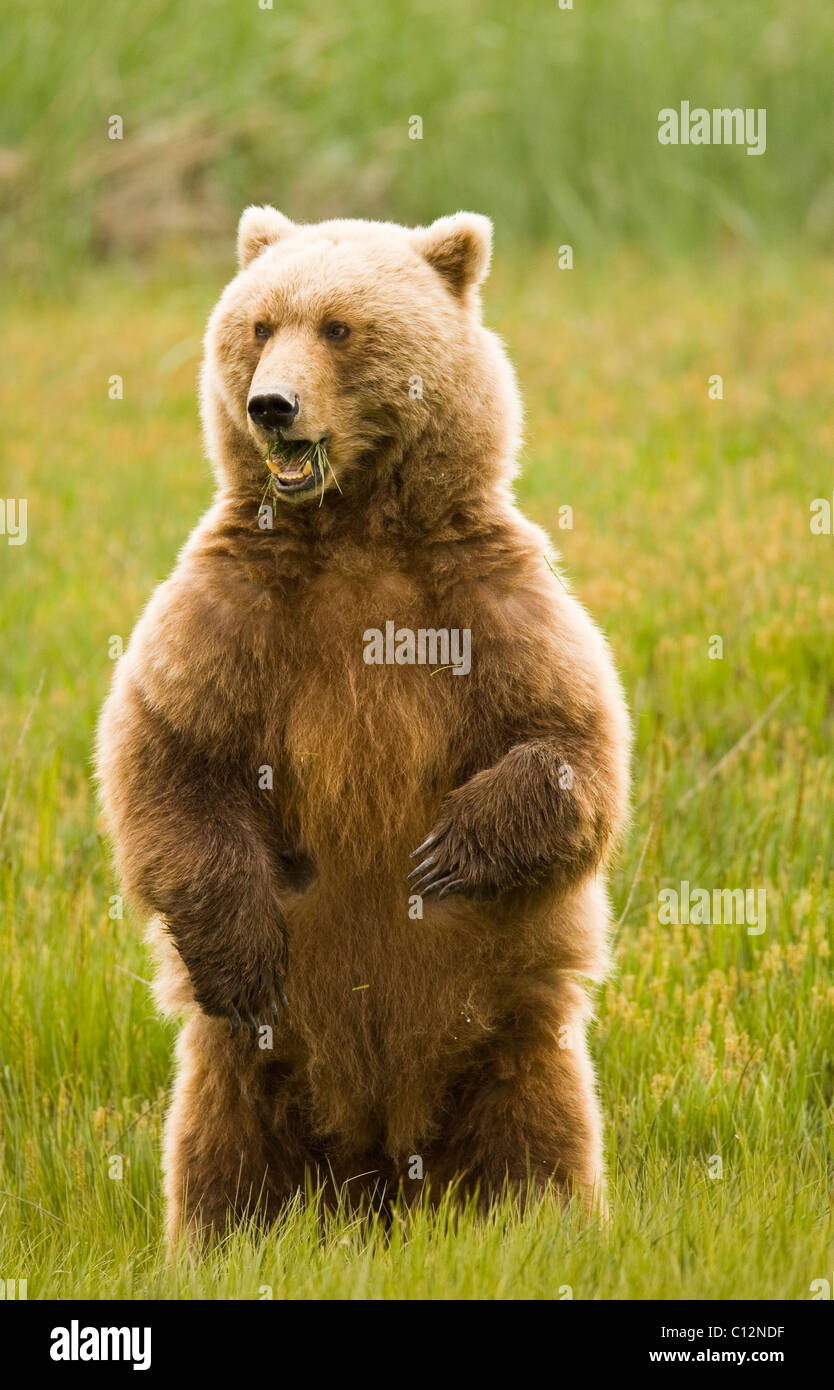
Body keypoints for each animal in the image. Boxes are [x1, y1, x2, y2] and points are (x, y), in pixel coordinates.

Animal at [96, 206, 631, 1246]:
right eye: (259, 323)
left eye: (340, 327)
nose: (271, 404)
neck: (353, 531)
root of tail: (380, 1173)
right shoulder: (229, 609)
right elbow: (170, 755)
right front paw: (243, 952)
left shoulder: (486, 597)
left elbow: (572, 744)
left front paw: (445, 851)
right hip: (246, 1069)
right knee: (224, 1153)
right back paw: (224, 1242)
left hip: (509, 1041)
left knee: (537, 1136)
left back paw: (542, 1223)